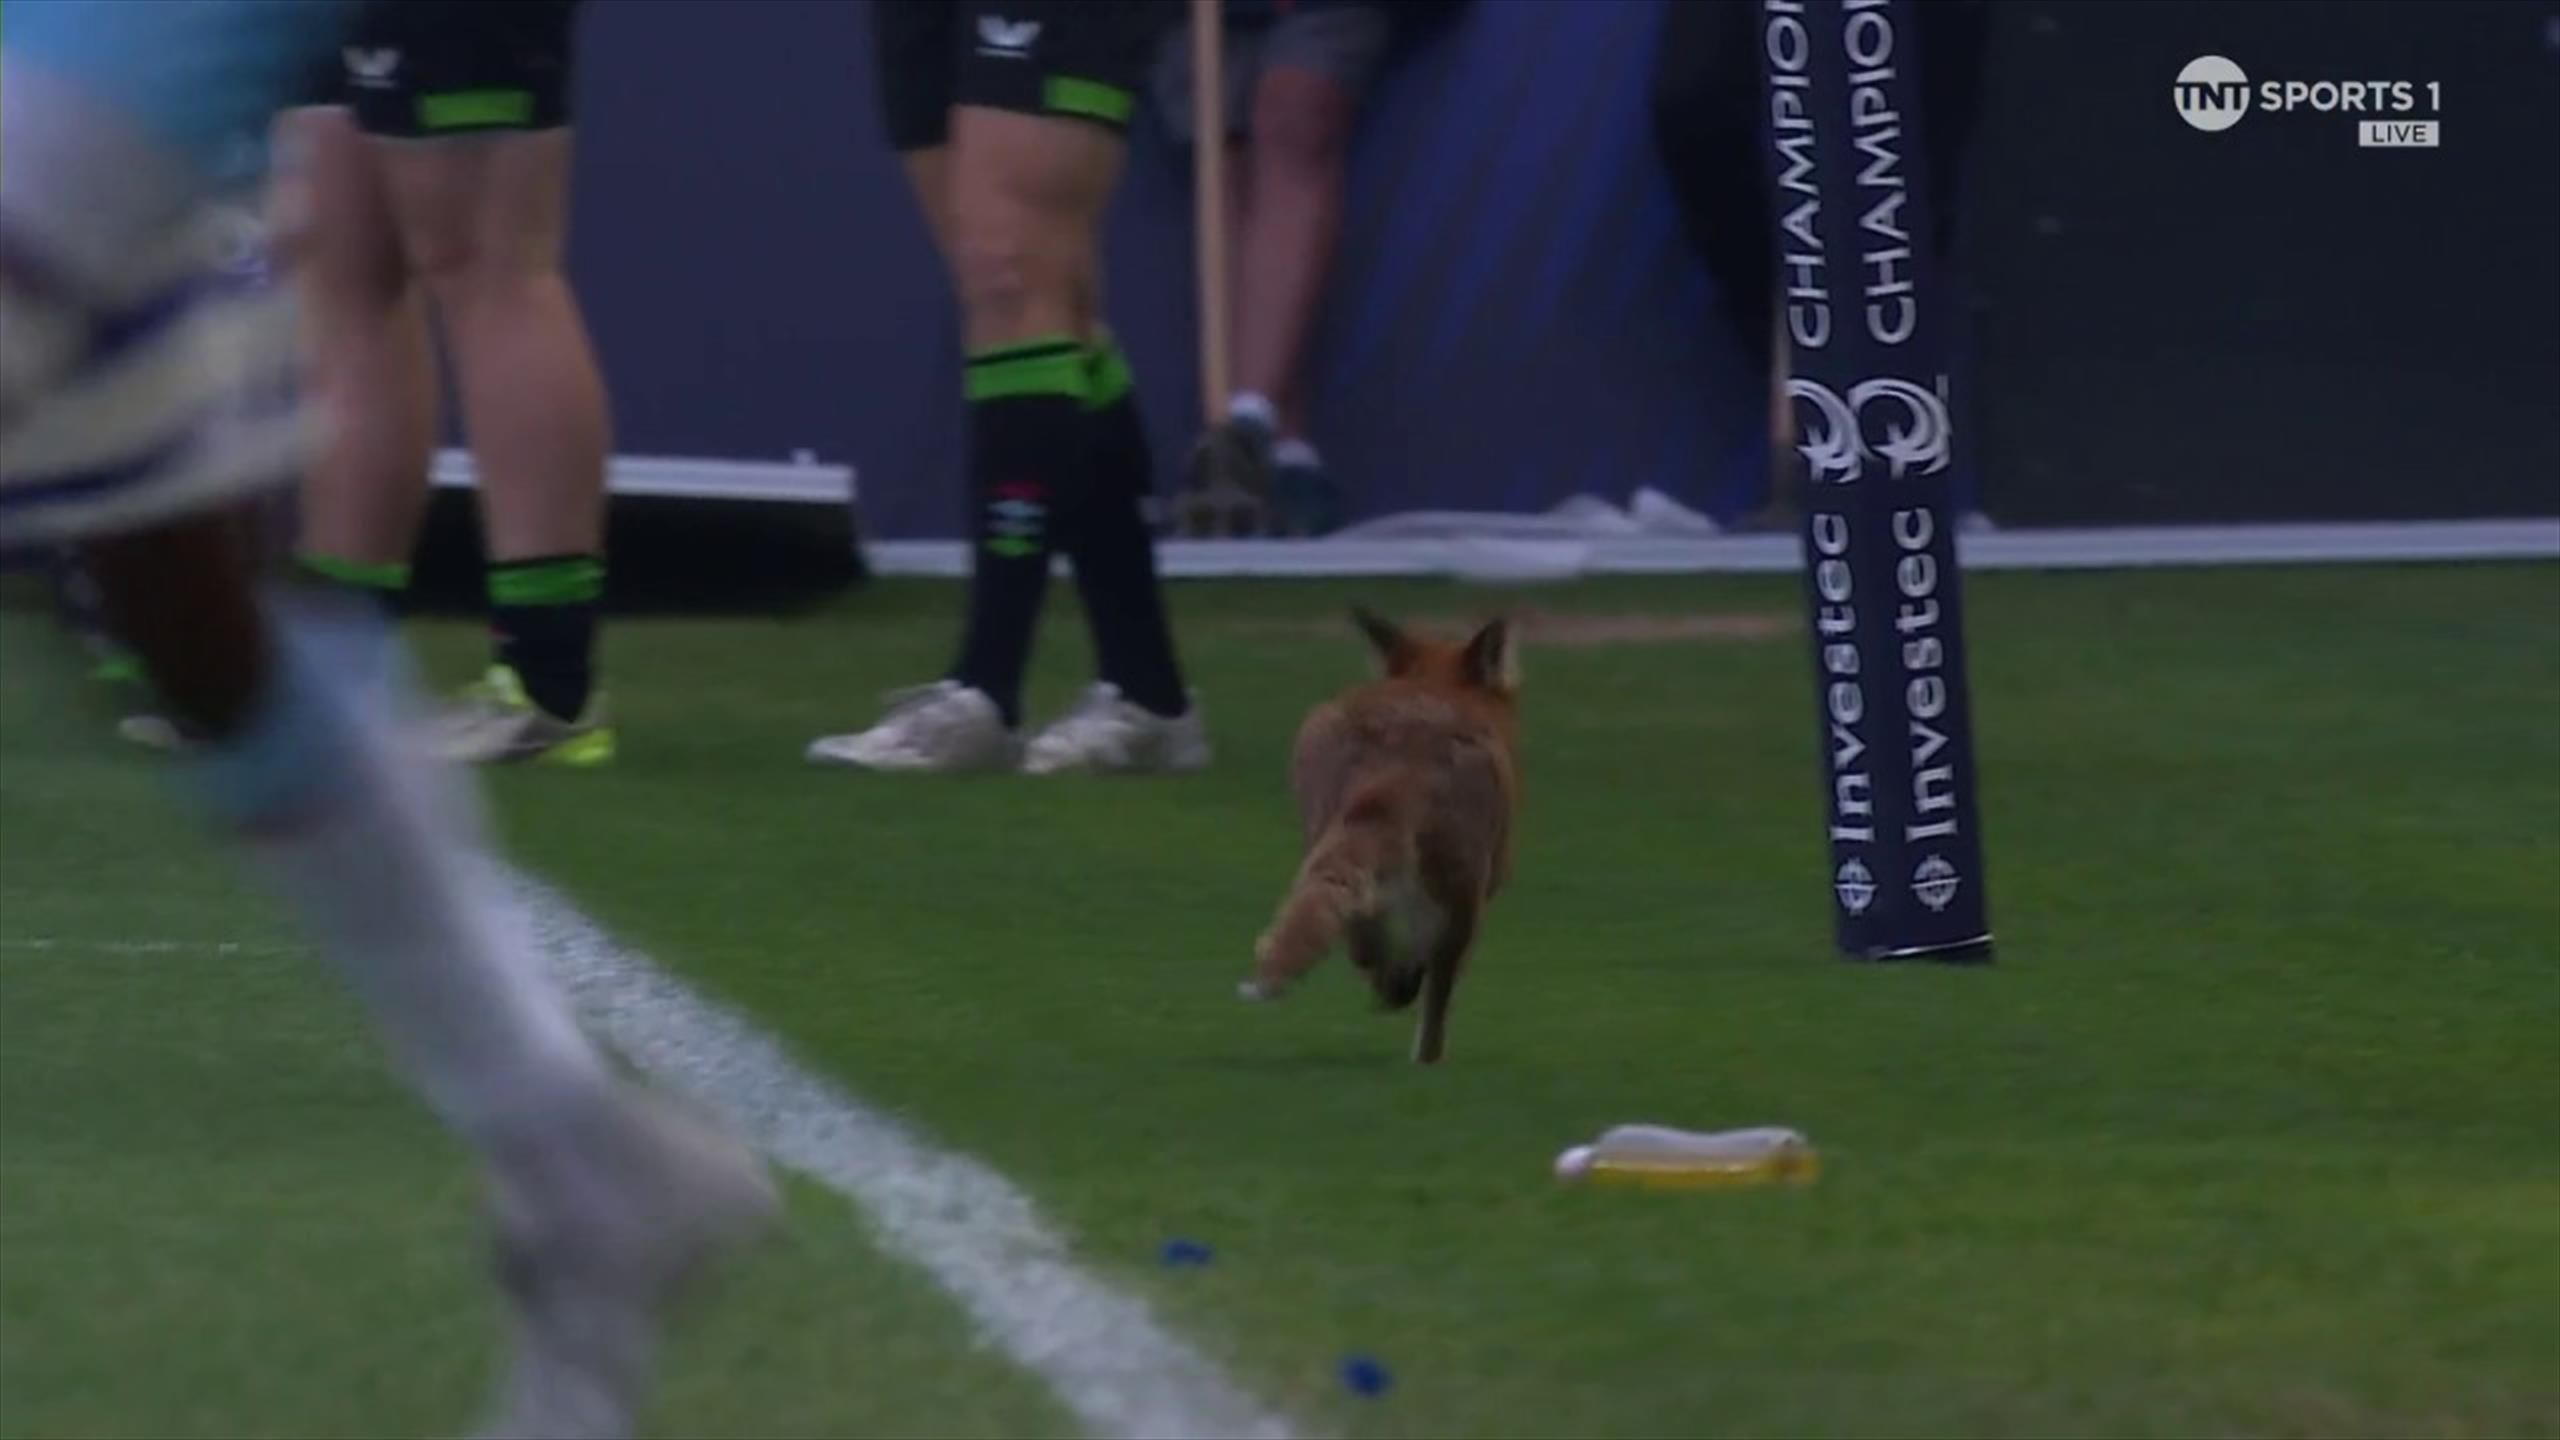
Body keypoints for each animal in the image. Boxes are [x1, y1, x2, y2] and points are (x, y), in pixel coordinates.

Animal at [1240, 606, 1522, 1065]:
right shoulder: (1467, 893)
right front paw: (1408, 987)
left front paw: (1396, 982)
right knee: (1437, 994)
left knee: (1359, 938)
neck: (1435, 687)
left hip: (1323, 840)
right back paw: (1426, 1059)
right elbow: (1432, 973)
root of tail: (1406, 742)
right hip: (1463, 890)